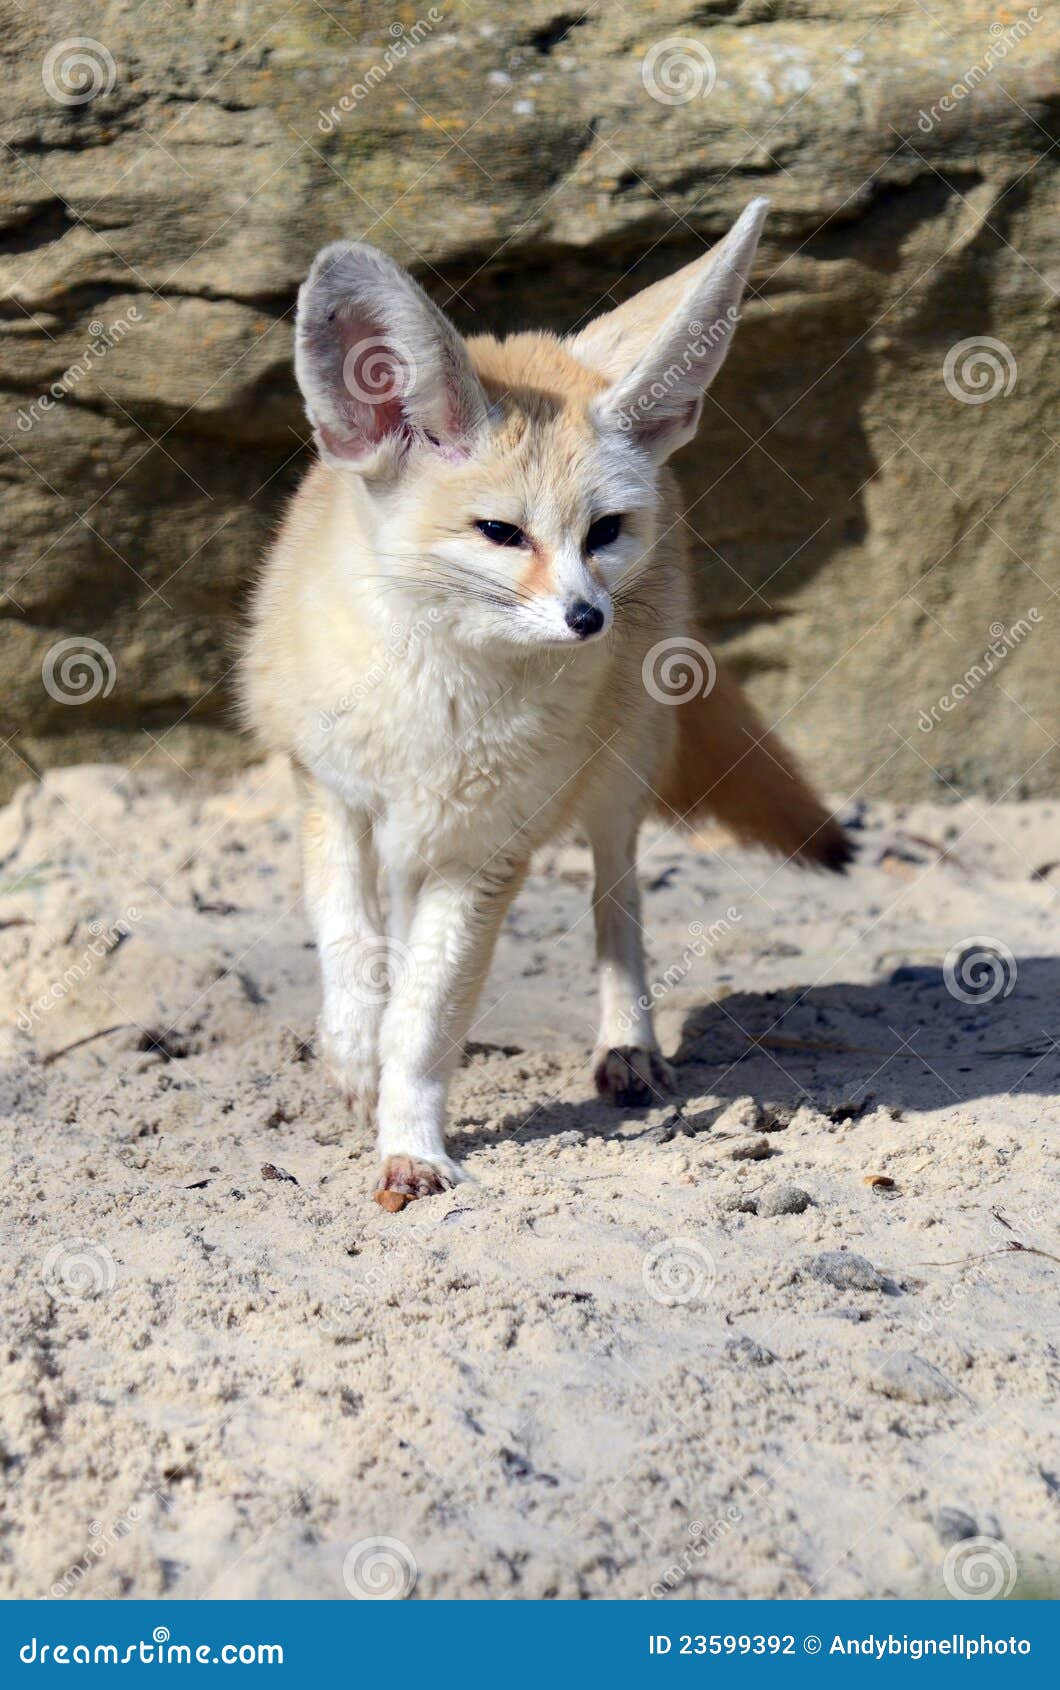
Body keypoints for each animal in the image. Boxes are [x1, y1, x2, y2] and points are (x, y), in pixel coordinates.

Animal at [240, 197, 849, 1210]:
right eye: (500, 532)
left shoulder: (488, 849)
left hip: (615, 776)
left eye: (604, 532)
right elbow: (352, 951)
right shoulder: (333, 794)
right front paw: (353, 1056)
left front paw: (411, 1145)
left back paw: (628, 1045)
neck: (441, 695)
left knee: (618, 900)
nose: (587, 617)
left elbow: (427, 1020)